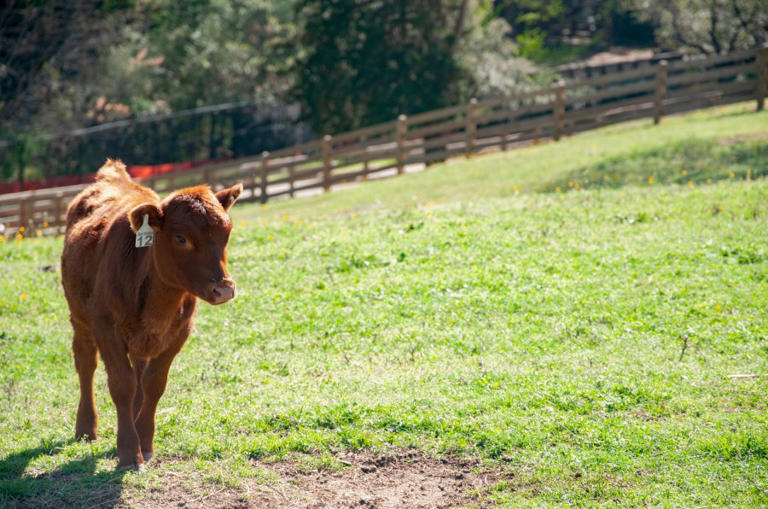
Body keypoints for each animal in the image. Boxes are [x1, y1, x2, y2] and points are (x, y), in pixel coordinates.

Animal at [61, 159, 242, 469]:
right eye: (180, 238)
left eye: (226, 234)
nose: (224, 289)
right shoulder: (106, 329)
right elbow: (121, 384)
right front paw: (127, 451)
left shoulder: (179, 333)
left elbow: (154, 384)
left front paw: (144, 442)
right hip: (80, 319)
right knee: (86, 364)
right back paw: (86, 427)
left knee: (139, 373)